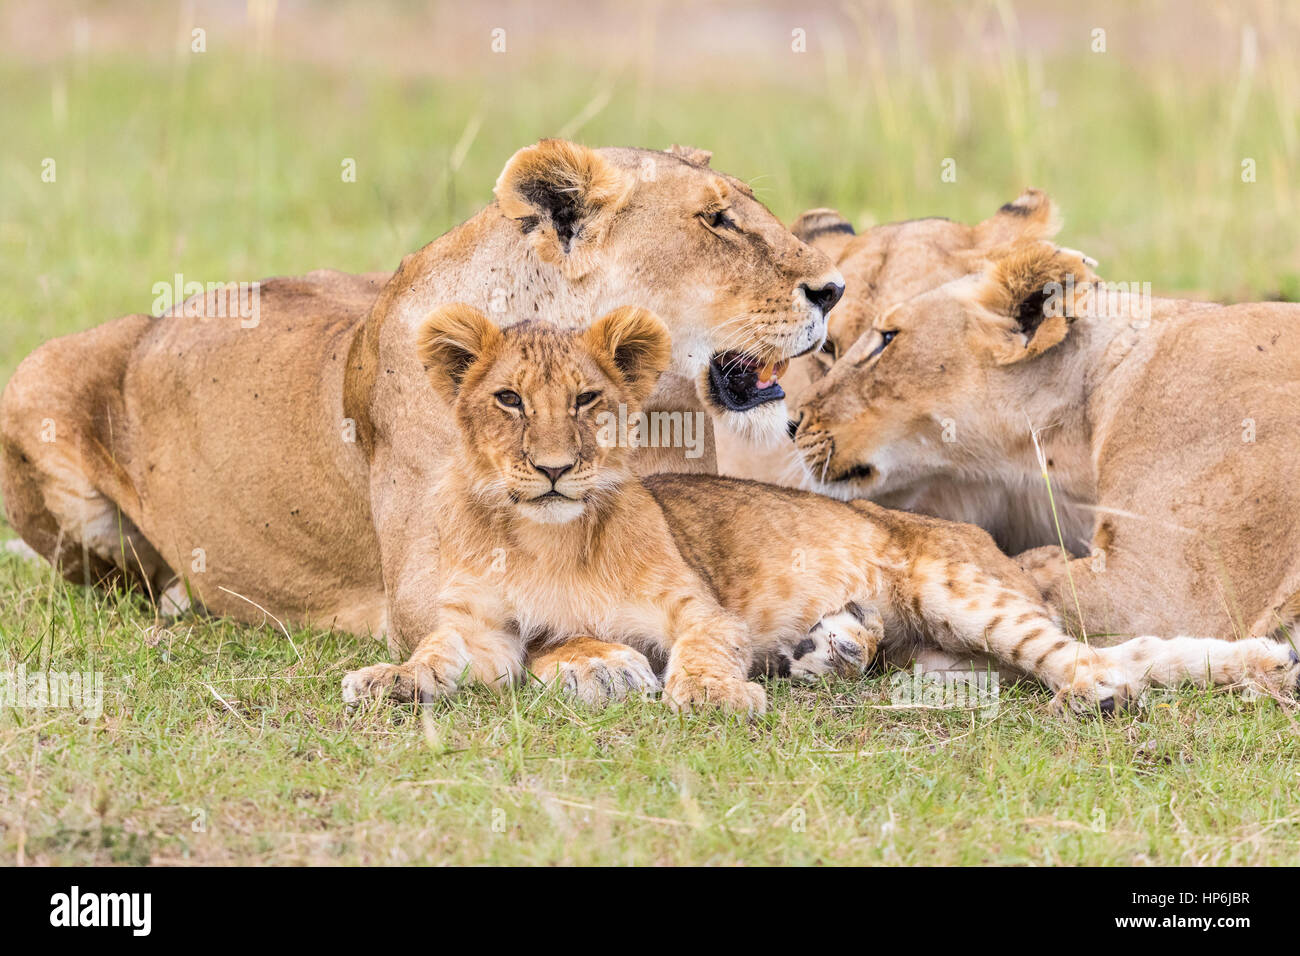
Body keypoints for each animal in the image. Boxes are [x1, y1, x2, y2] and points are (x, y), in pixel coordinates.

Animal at [0, 140, 844, 674]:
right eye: (715, 221)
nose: (833, 290)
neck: (649, 417)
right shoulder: (423, 587)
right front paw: (595, 659)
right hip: (36, 381)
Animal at [340, 303, 1300, 713]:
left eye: (585, 401)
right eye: (507, 400)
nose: (551, 470)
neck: (545, 537)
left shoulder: (703, 610)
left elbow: (700, 651)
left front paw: (709, 696)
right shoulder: (483, 633)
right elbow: (441, 657)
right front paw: (388, 680)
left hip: (963, 593)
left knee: (1088, 655)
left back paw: (1105, 690)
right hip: (939, 652)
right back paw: (833, 649)